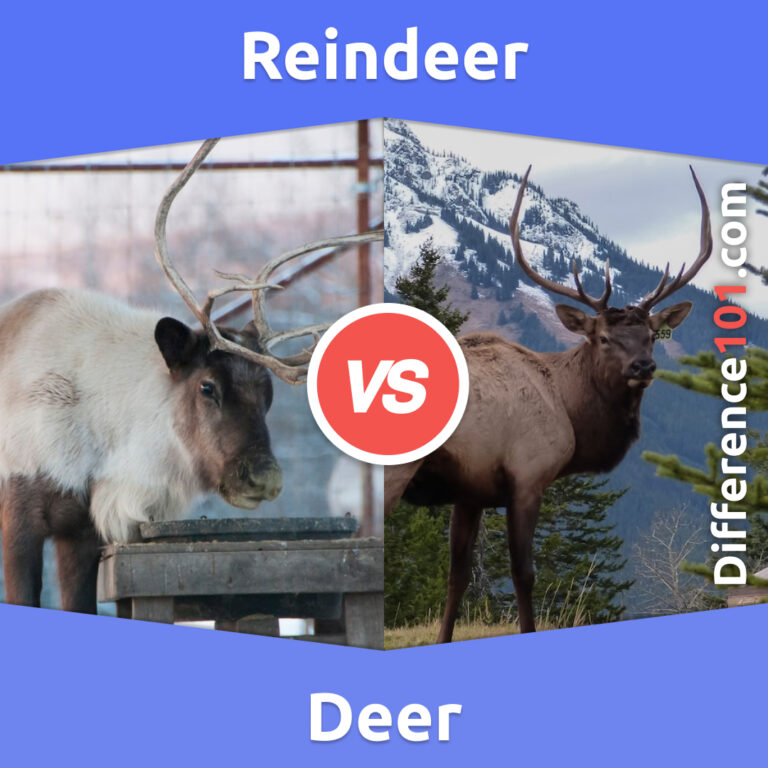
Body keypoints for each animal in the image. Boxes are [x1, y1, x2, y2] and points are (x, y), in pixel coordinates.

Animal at [385, 166, 712, 642]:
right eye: (603, 338)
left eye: (652, 335)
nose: (643, 365)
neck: (569, 410)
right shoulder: (528, 475)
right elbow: (524, 573)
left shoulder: (471, 490)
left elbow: (457, 576)